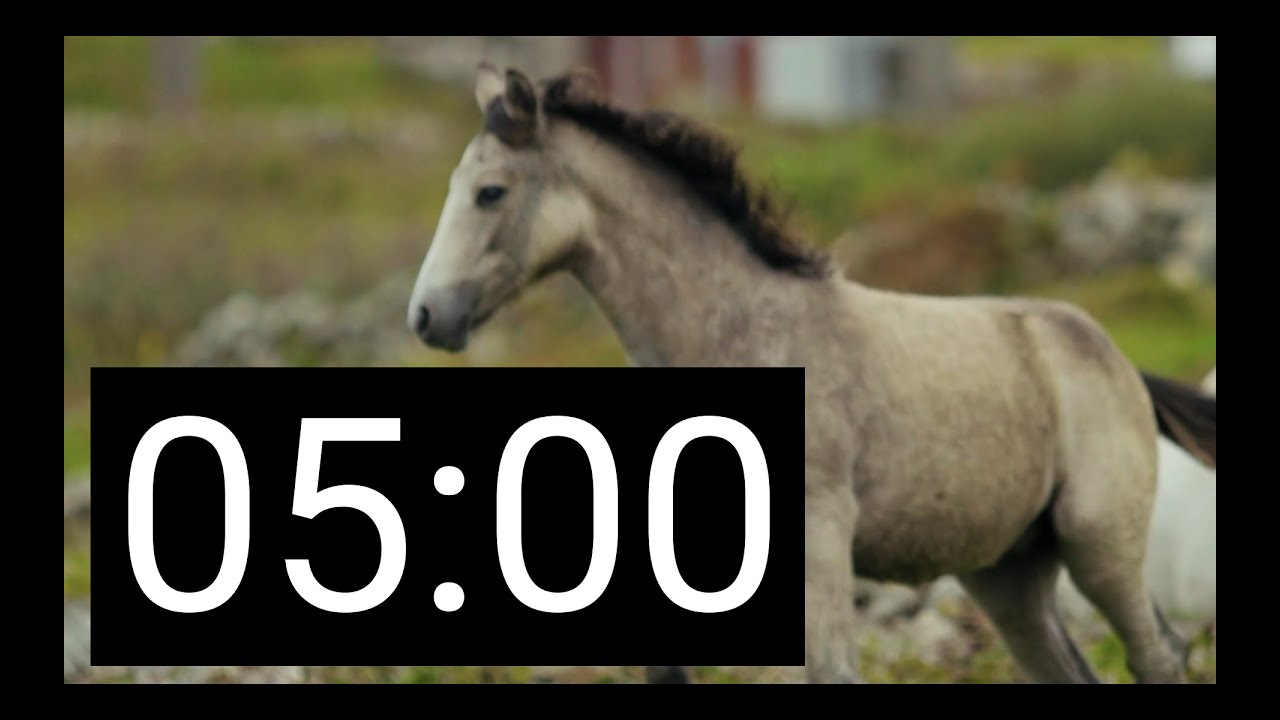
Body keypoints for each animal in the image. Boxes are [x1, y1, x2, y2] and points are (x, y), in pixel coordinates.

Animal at [405, 63, 1218, 684]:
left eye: (490, 192)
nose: (426, 315)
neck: (736, 335)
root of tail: (1118, 361)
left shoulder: (818, 541)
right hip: (1009, 574)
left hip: (1099, 545)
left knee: (1160, 654)